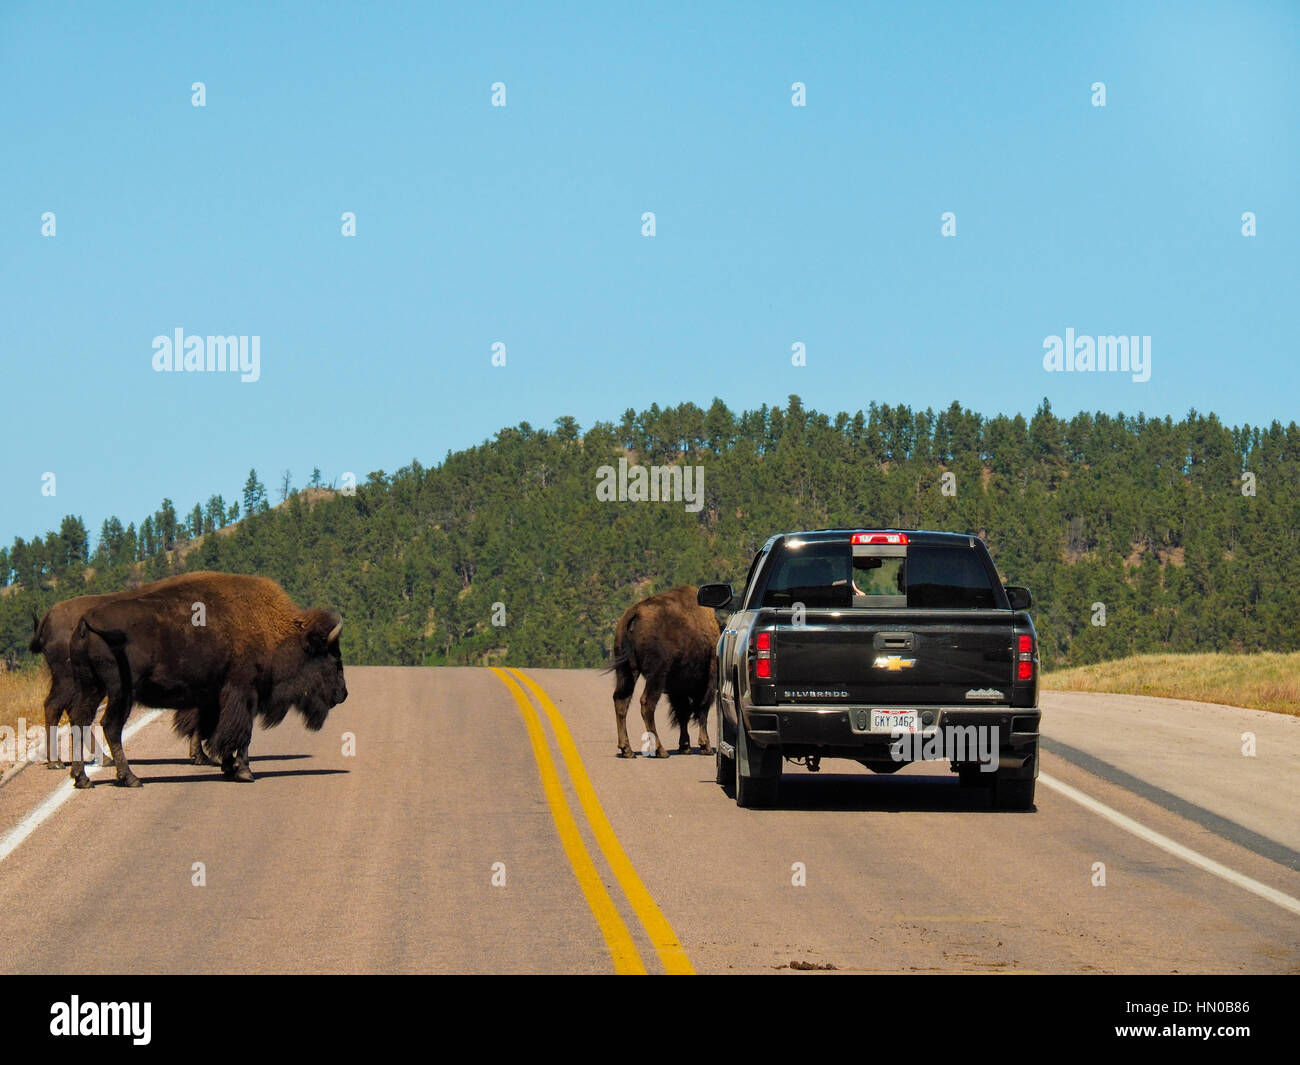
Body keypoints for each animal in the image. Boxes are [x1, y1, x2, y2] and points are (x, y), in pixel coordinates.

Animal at [66, 571, 347, 788]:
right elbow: (241, 733)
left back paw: (82, 779)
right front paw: (244, 772)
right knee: (111, 726)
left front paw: (229, 768)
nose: (343, 694)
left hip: (91, 688)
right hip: (121, 692)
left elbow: (220, 730)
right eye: (333, 658)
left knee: (80, 721)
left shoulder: (218, 697)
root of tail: (87, 620)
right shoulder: (244, 692)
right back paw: (130, 778)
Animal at [610, 584, 719, 758]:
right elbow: (701, 710)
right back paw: (660, 750)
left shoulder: (677, 688)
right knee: (647, 704)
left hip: (626, 670)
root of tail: (635, 613)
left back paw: (627, 750)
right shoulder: (708, 680)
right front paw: (705, 746)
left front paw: (685, 746)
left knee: (621, 700)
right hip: (656, 676)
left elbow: (683, 713)